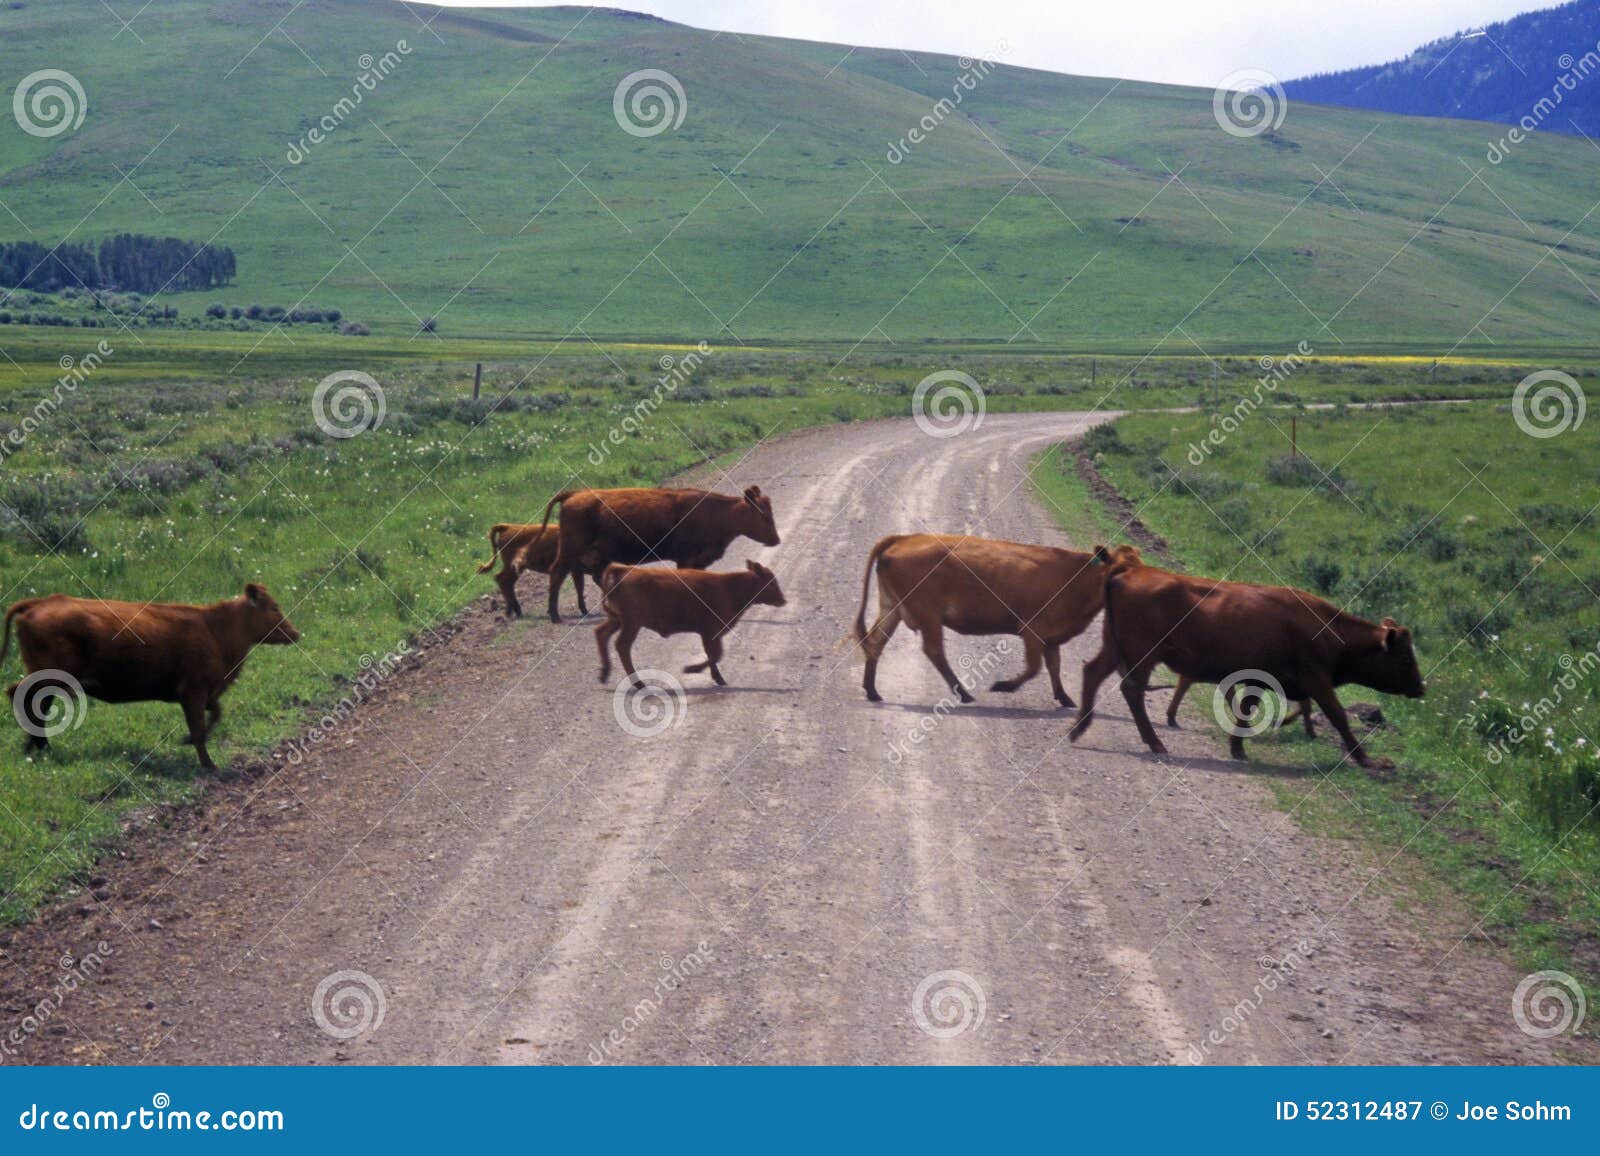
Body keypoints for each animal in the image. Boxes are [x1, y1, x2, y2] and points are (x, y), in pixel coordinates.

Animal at [2, 584, 301, 770]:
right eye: (274, 607)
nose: (296, 633)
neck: (215, 629)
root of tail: (42, 601)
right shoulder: (193, 692)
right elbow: (200, 728)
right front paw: (209, 764)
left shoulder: (207, 693)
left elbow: (215, 715)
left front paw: (188, 743)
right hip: (52, 676)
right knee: (22, 696)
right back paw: (37, 747)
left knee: (34, 702)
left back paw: (38, 747)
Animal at [539, 485, 780, 622]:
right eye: (764, 516)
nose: (776, 539)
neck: (716, 513)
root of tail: (574, 495)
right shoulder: (686, 559)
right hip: (570, 550)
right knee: (558, 573)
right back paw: (555, 615)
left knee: (588, 576)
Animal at [595, 560, 786, 686]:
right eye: (771, 582)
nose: (783, 600)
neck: (730, 587)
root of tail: (622, 569)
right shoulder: (711, 632)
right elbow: (716, 654)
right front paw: (691, 669)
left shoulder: (709, 634)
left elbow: (713, 655)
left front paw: (717, 678)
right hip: (631, 623)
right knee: (622, 645)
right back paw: (638, 683)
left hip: (617, 620)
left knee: (601, 633)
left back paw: (604, 674)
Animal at [851, 535, 1143, 706]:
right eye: (1120, 568)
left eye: (1139, 567)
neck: (1075, 579)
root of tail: (905, 538)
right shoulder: (1032, 630)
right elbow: (1034, 668)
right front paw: (1004, 685)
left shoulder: (1051, 637)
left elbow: (1054, 667)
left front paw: (1064, 697)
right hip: (927, 615)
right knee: (934, 651)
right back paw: (964, 693)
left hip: (892, 609)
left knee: (875, 643)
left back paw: (872, 690)